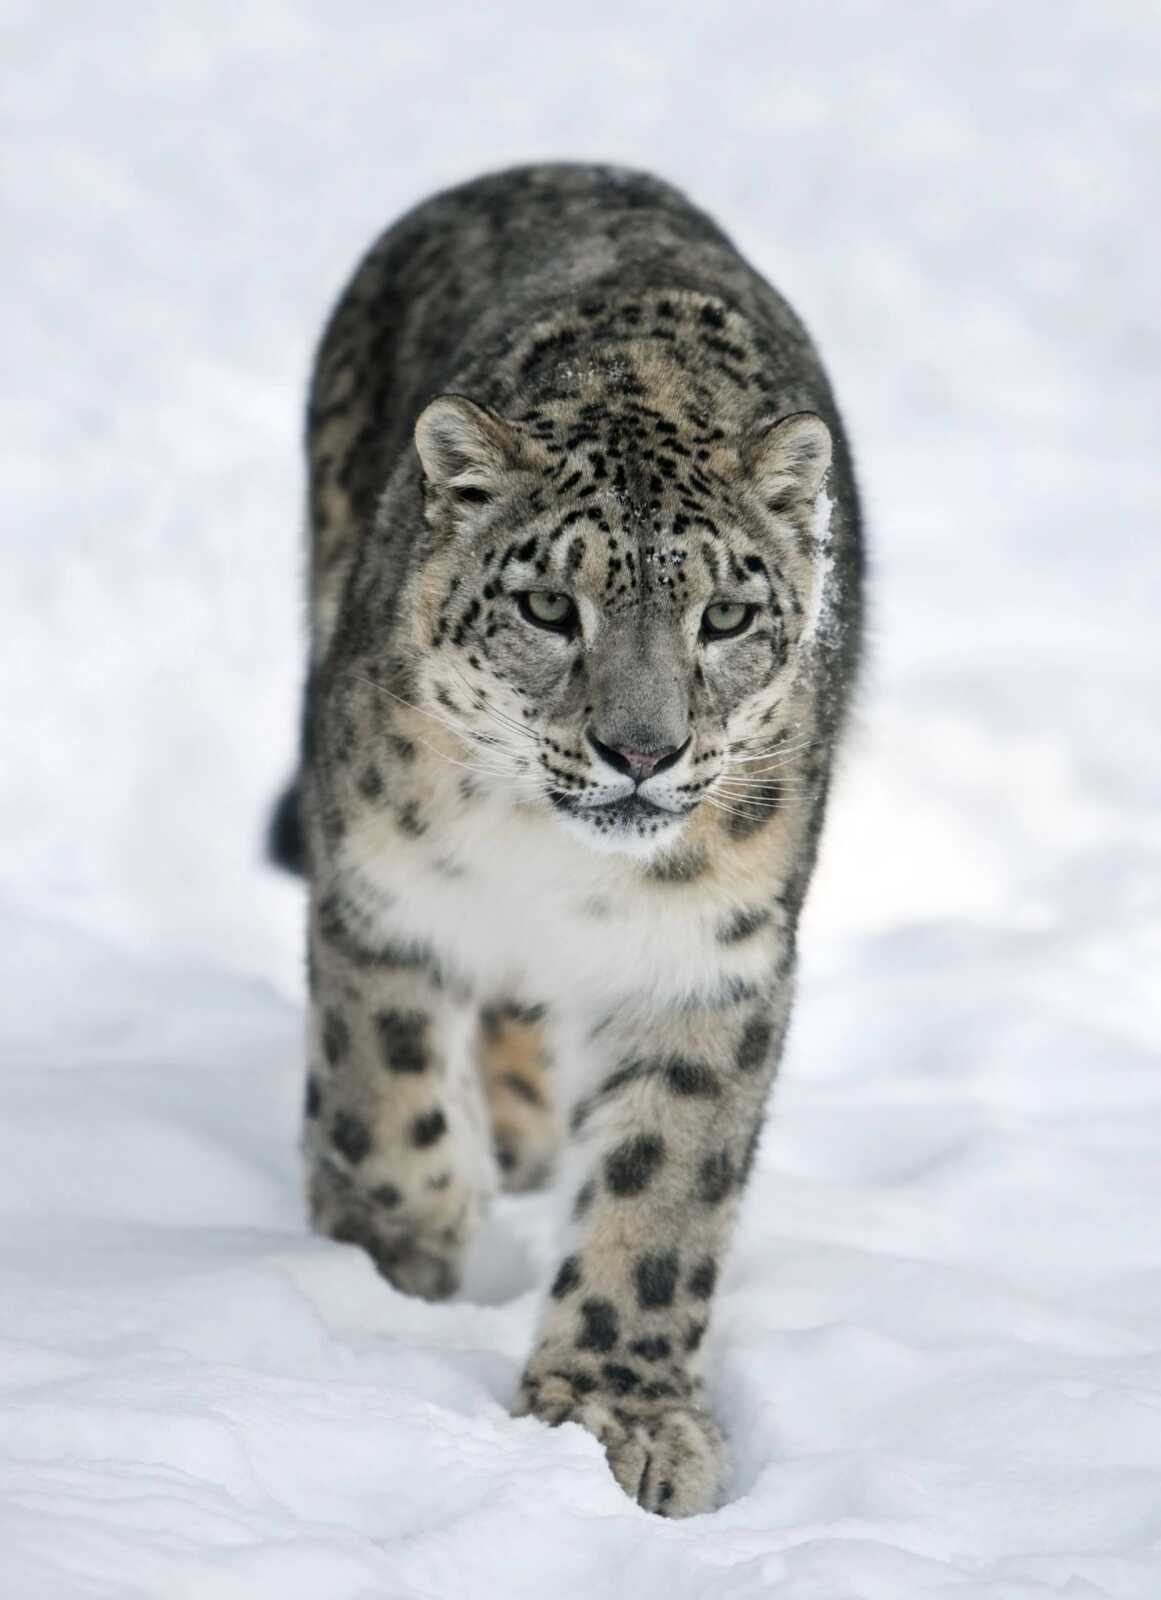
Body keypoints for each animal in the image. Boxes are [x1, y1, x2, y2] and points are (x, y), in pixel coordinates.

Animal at [268, 163, 863, 1517]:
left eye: (726, 615)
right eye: (550, 605)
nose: (639, 748)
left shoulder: (712, 955)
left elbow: (663, 1193)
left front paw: (616, 1414)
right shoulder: (381, 884)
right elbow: (382, 1090)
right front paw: (396, 1260)